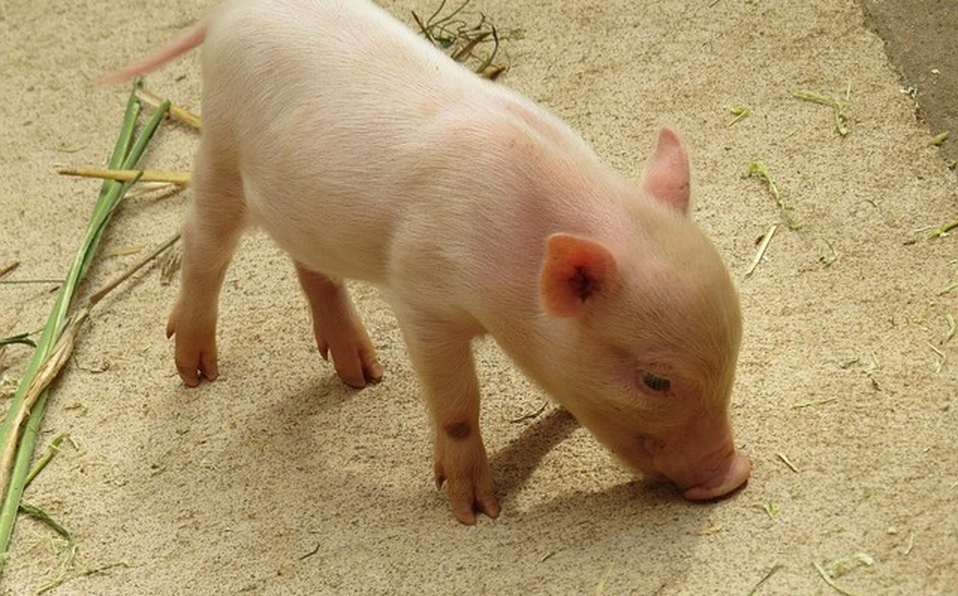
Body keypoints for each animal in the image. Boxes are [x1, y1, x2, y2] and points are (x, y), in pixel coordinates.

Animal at [109, 0, 750, 524]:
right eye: (655, 379)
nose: (733, 476)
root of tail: (225, 13)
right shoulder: (421, 295)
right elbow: (459, 403)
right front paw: (476, 513)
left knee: (311, 265)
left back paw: (360, 376)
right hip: (219, 147)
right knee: (202, 244)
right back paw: (197, 372)